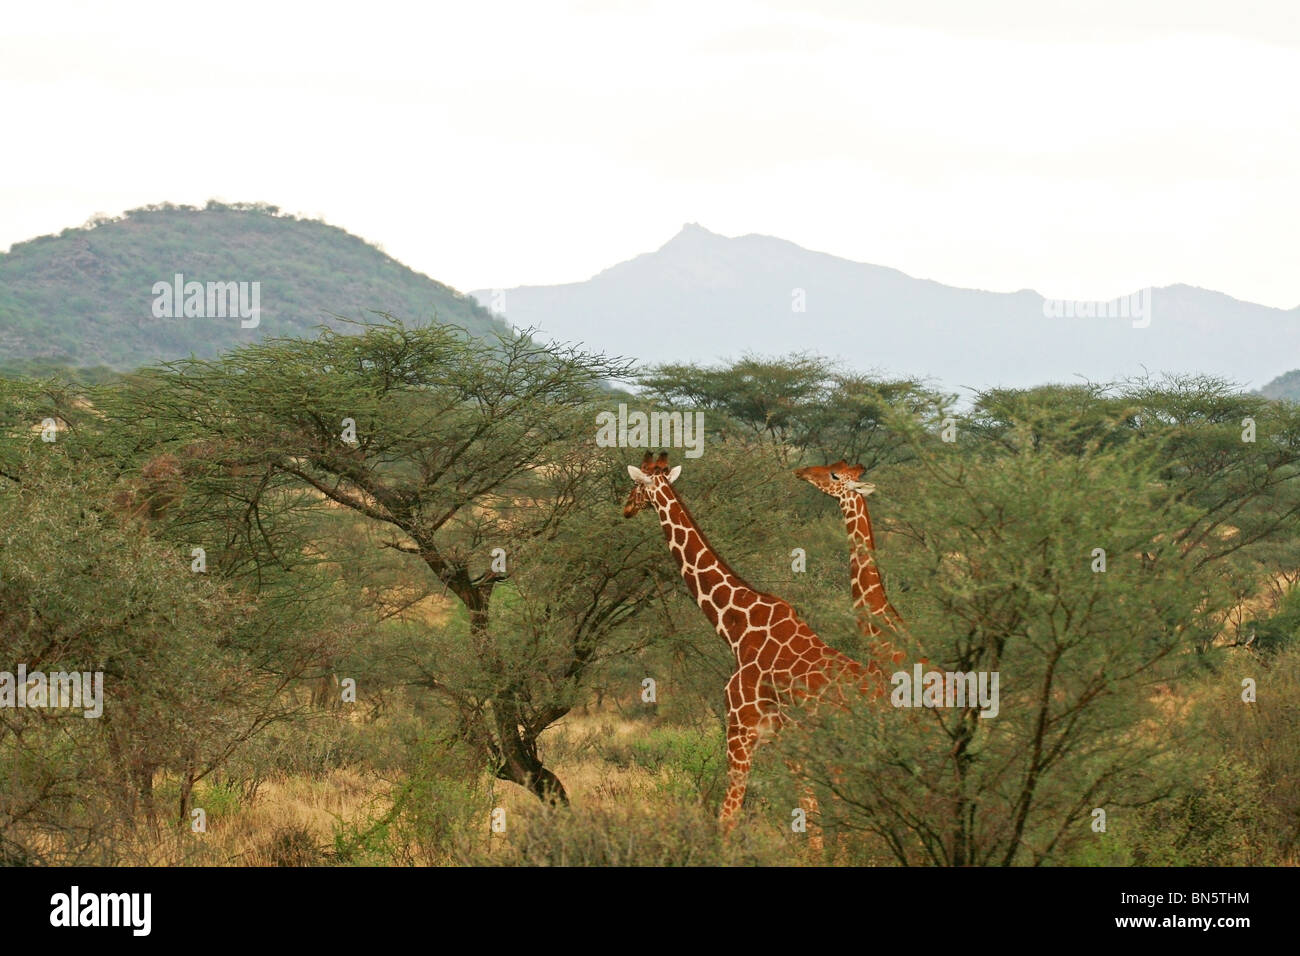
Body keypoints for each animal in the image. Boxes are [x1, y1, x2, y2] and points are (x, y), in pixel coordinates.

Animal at [623, 452, 893, 832]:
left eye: (635, 484)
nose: (626, 507)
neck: (737, 629)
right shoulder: (784, 743)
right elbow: (810, 814)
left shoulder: (741, 730)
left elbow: (728, 817)